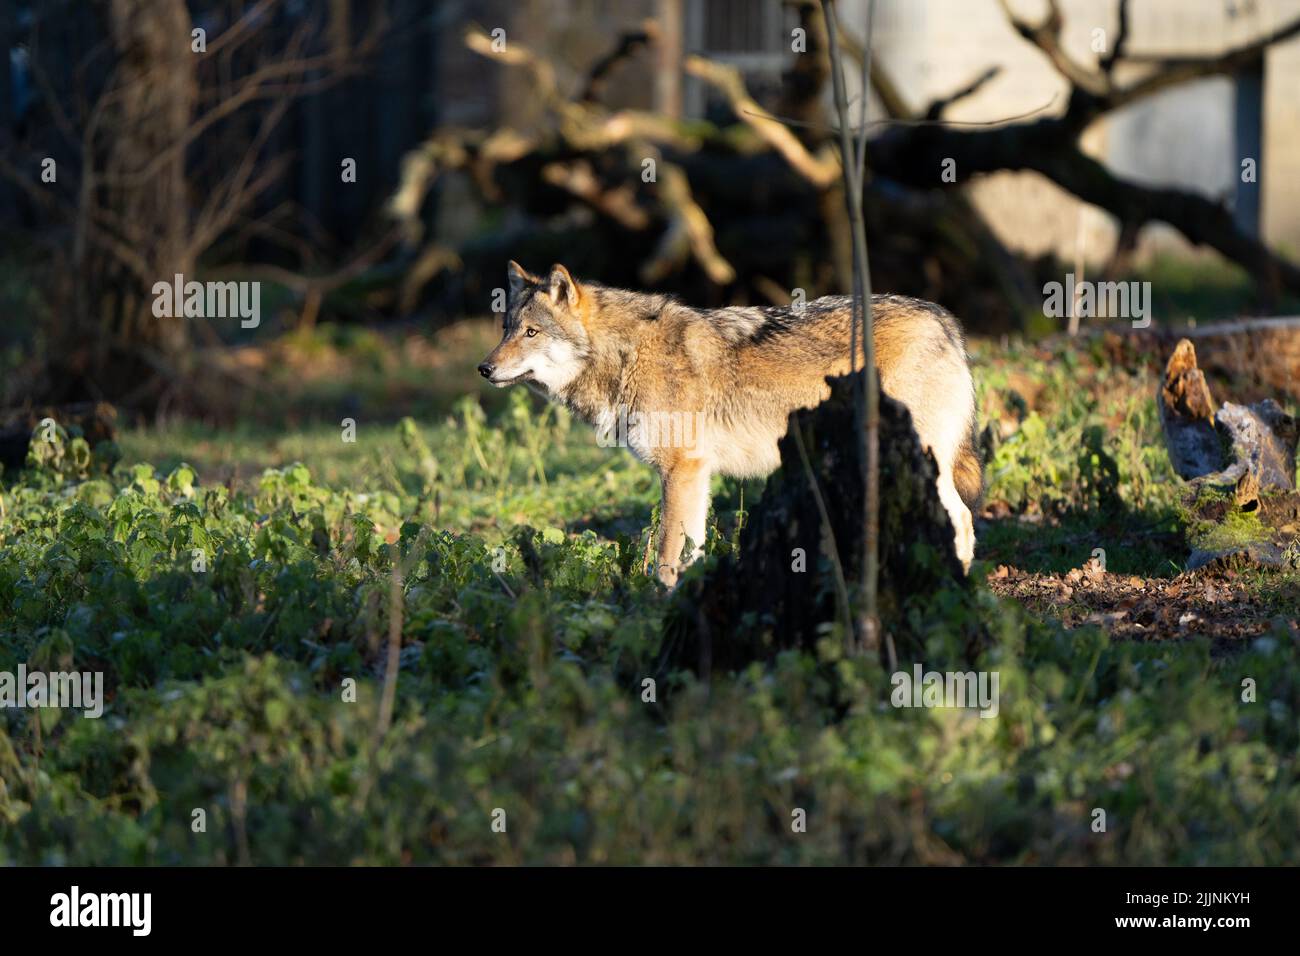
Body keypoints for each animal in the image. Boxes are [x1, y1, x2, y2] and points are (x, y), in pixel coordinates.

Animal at [479, 262, 982, 587]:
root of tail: (945, 320)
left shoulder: (681, 469)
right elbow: (692, 548)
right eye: (505, 329)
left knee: (961, 517)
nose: (484, 369)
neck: (627, 355)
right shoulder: (697, 475)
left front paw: (659, 602)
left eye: (531, 333)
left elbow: (666, 555)